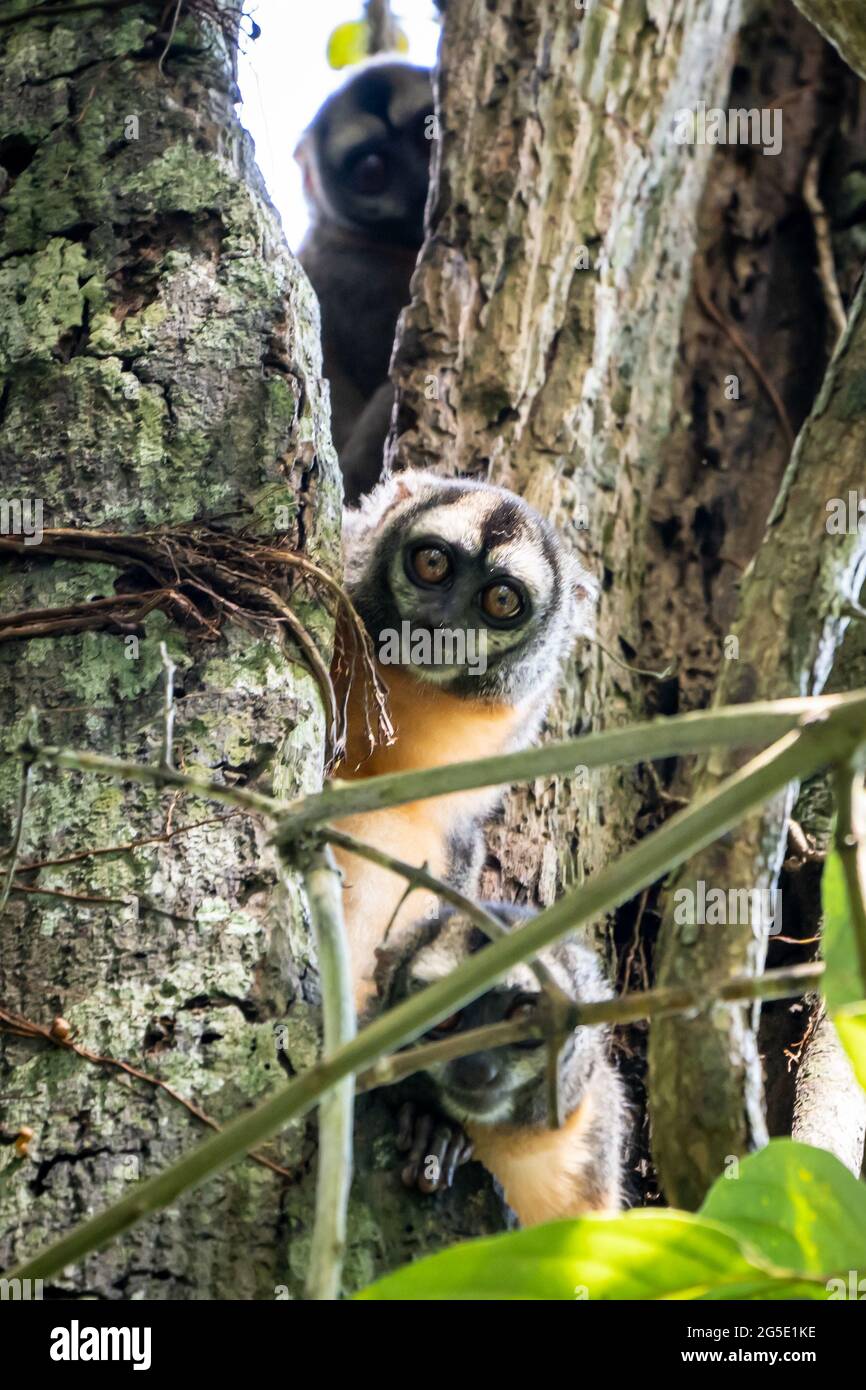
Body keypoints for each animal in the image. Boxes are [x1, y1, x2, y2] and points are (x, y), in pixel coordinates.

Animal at [377, 904, 626, 1227]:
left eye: (525, 1016)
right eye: (443, 1017)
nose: (476, 1069)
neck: (502, 1135)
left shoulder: (596, 1124)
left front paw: (434, 1138)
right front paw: (430, 1131)